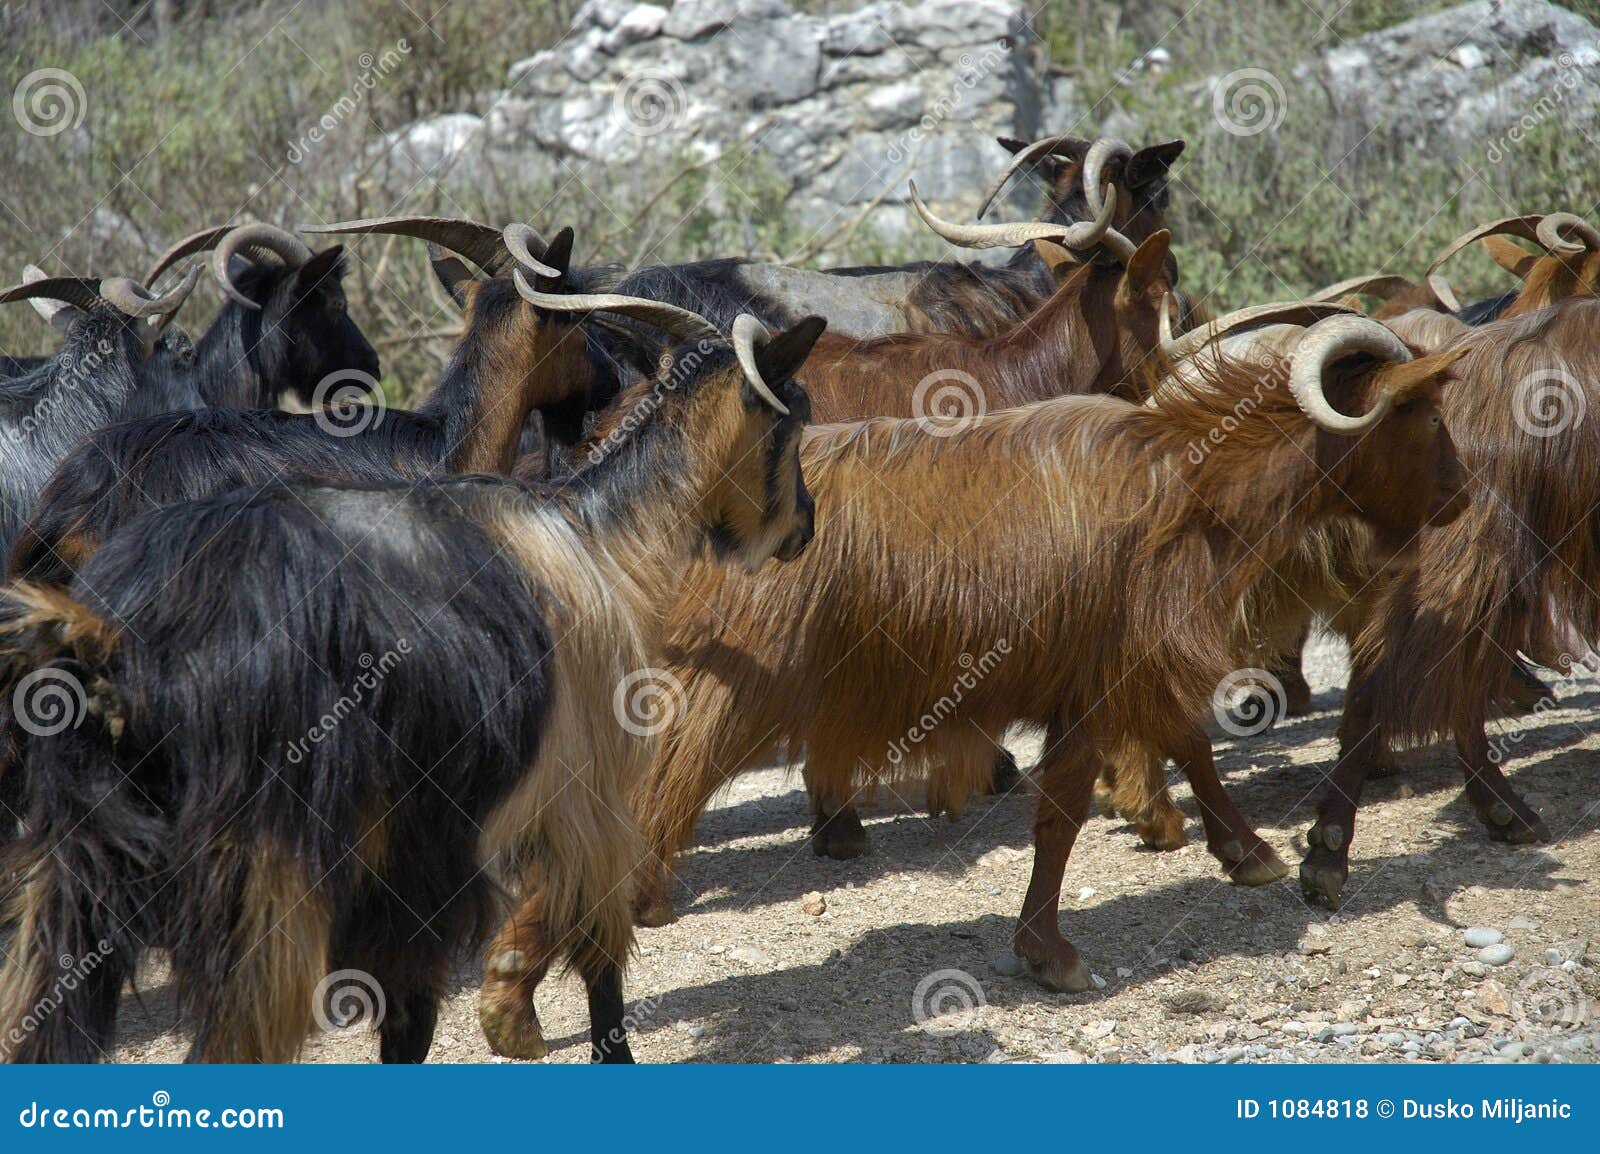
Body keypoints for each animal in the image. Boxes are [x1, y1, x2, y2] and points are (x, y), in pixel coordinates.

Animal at [0, 310, 823, 1064]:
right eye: (793, 420)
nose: (807, 527)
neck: (601, 538)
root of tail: (116, 632)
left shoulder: (413, 859)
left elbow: (410, 1021)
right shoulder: (579, 796)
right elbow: (595, 953)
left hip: (77, 875)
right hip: (266, 876)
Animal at [630, 317, 1467, 989]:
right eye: (1426, 415)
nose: (1463, 492)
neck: (1187, 480)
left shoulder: (1125, 666)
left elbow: (1187, 746)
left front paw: (1244, 852)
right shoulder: (1099, 681)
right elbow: (1063, 817)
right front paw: (1049, 953)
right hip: (719, 692)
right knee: (662, 782)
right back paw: (641, 900)